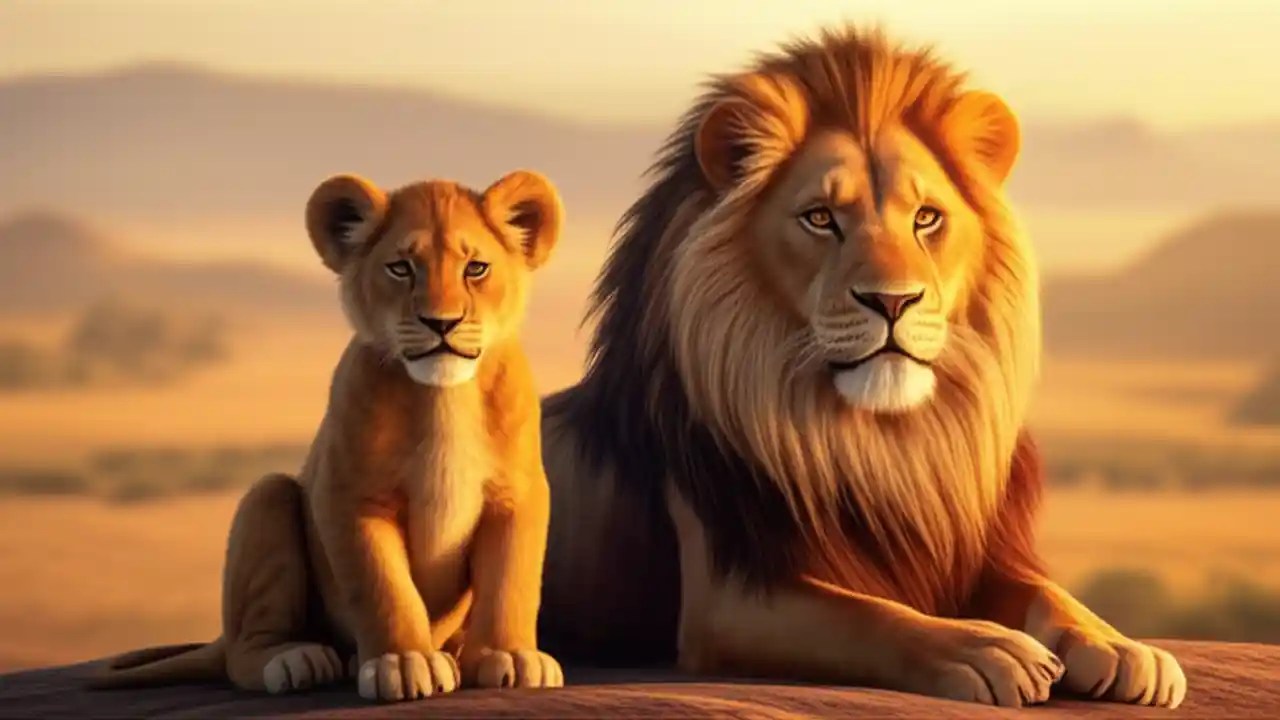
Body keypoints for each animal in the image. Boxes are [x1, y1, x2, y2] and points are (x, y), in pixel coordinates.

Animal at [90, 170, 565, 702]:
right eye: (401, 268)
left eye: (476, 268)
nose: (440, 323)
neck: (443, 396)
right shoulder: (350, 496)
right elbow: (384, 587)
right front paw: (404, 662)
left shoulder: (516, 495)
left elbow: (510, 581)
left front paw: (511, 656)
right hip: (268, 500)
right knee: (244, 653)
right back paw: (299, 659)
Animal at [538, 26, 1186, 708]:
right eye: (821, 218)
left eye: (926, 218)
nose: (893, 301)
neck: (879, 445)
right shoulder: (728, 596)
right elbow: (873, 616)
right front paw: (986, 649)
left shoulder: (966, 554)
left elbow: (1048, 593)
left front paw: (1120, 646)